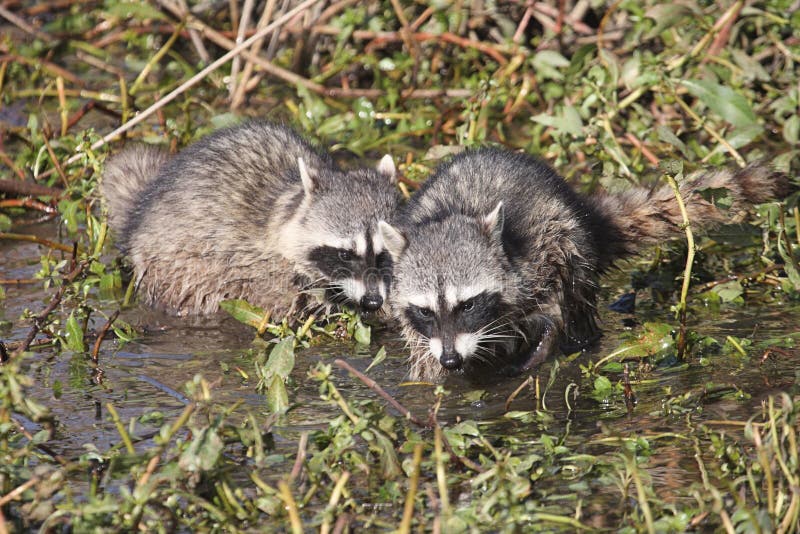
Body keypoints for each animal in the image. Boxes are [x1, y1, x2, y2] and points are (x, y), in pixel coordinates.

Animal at [101, 120, 400, 317]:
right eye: (345, 255)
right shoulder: (253, 262)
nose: (373, 302)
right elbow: (276, 299)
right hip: (172, 266)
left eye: (384, 253)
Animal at [379, 148, 790, 381]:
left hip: (569, 233)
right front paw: (437, 378)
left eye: (468, 304)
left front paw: (542, 344)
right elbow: (423, 352)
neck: (453, 216)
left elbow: (550, 311)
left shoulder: (536, 257)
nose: (451, 359)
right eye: (425, 310)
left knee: (575, 294)